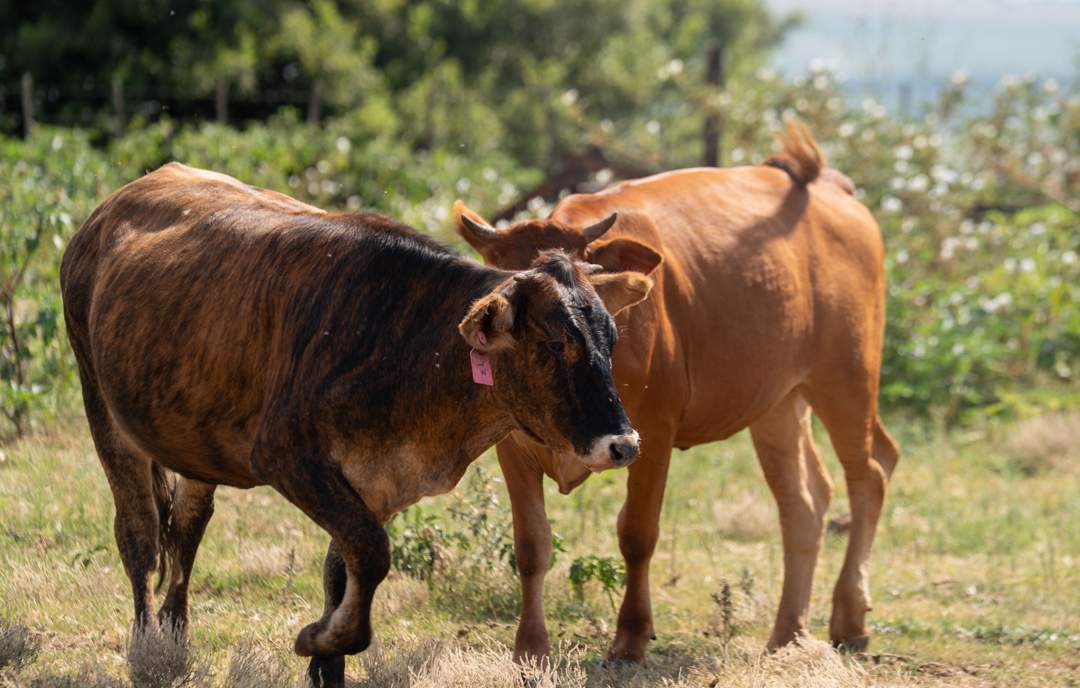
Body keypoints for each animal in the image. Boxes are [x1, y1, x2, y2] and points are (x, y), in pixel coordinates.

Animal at [59, 162, 654, 687]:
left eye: (610, 340)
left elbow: (342, 570)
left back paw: (175, 633)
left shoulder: (379, 480)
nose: (623, 443)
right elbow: (370, 552)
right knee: (139, 536)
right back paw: (147, 647)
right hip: (102, 407)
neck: (409, 342)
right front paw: (320, 639)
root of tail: (105, 214)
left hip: (193, 439)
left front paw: (328, 666)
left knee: (186, 527)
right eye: (553, 344)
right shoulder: (287, 458)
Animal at [454, 121, 901, 662]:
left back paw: (849, 615)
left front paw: (631, 635)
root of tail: (826, 186)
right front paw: (531, 646)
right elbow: (531, 545)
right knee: (805, 501)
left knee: (869, 474)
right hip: (778, 401)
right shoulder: (514, 446)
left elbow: (637, 534)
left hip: (847, 377)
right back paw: (787, 632)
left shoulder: (652, 433)